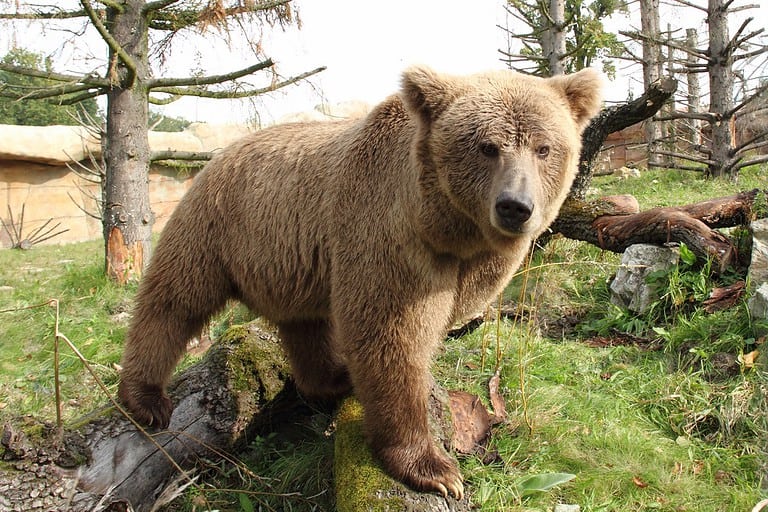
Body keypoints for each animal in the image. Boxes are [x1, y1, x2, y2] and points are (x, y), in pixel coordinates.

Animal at [118, 65, 603, 499]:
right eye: (487, 147)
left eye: (544, 148)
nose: (515, 207)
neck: (446, 229)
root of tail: (221, 152)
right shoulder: (388, 234)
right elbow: (390, 336)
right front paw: (434, 469)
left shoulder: (466, 262)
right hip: (217, 225)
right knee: (174, 300)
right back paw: (146, 398)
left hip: (289, 263)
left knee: (304, 324)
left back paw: (332, 378)